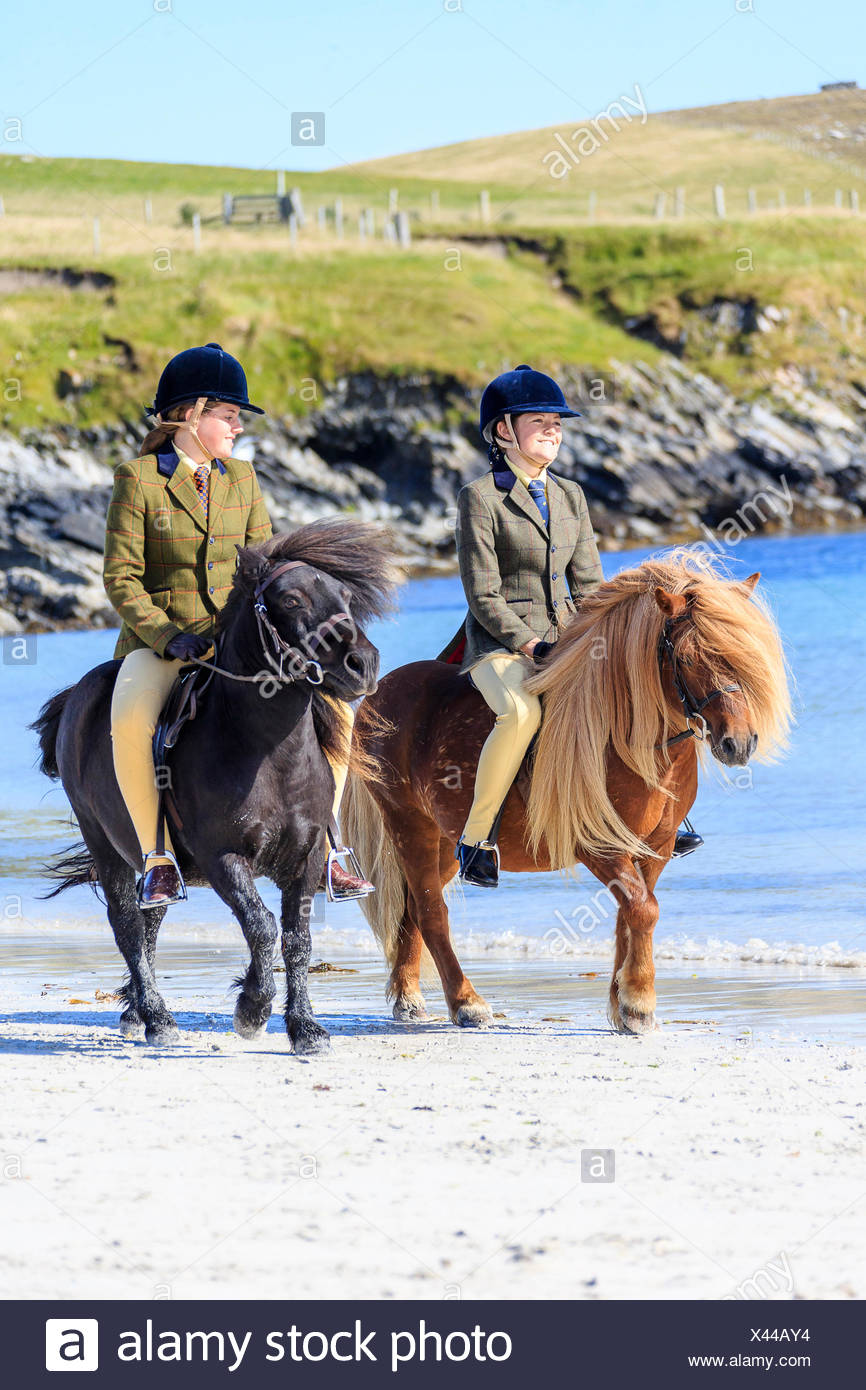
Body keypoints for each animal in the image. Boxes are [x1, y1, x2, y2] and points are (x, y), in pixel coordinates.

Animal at [30, 520, 397, 1054]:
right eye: (291, 600)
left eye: (346, 596)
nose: (362, 664)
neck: (268, 751)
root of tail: (78, 694)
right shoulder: (223, 856)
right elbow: (262, 927)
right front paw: (252, 1009)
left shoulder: (307, 859)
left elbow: (298, 939)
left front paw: (305, 1028)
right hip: (104, 842)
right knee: (126, 925)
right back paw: (157, 1018)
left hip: (161, 863)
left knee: (151, 917)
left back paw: (136, 1013)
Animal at [341, 547, 792, 1034]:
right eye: (688, 659)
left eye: (745, 653)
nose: (738, 744)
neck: (623, 734)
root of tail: (380, 691)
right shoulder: (597, 843)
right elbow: (643, 908)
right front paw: (639, 1003)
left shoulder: (655, 845)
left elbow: (632, 912)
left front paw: (622, 1003)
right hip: (411, 826)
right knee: (431, 912)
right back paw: (466, 1003)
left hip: (445, 841)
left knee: (413, 907)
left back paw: (409, 998)